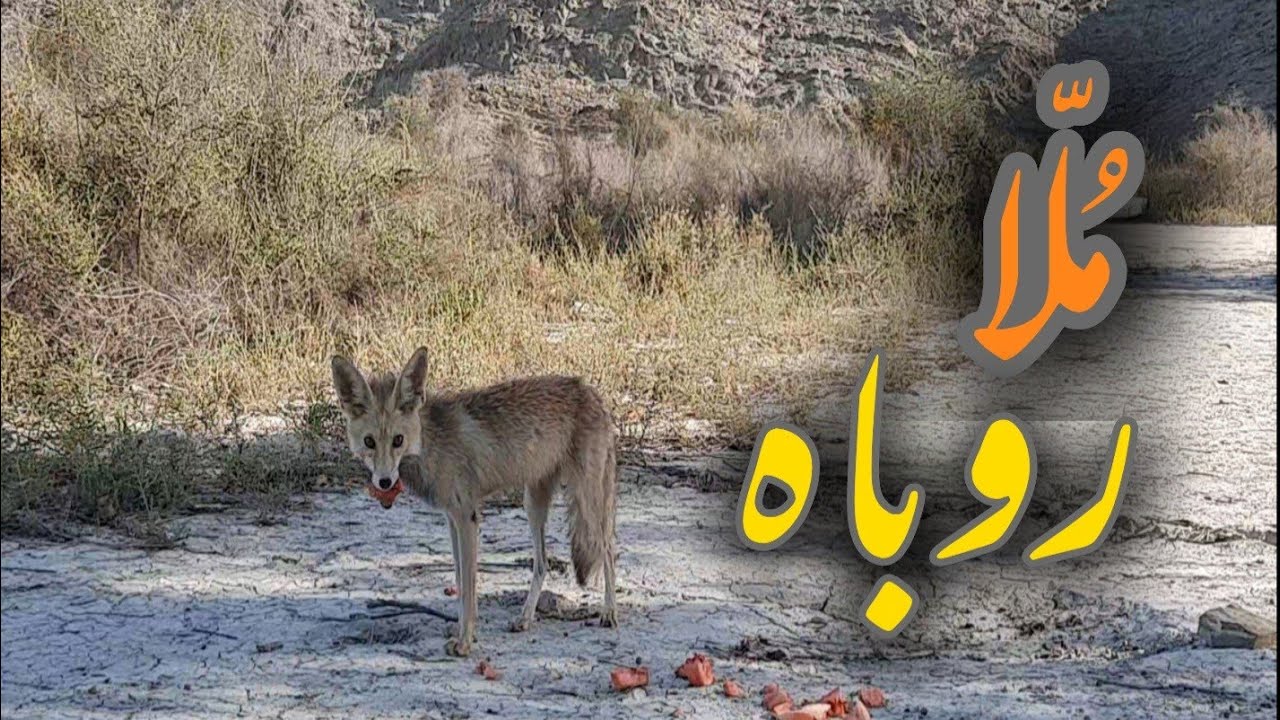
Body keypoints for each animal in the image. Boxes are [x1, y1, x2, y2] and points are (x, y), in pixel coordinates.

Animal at [330, 347, 619, 657]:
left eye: (397, 440)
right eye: (369, 442)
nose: (384, 482)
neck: (432, 445)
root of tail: (590, 390)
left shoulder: (467, 517)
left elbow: (468, 587)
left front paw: (465, 641)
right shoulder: (451, 519)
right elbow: (459, 582)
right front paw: (464, 632)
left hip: (586, 501)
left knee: (608, 549)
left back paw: (609, 612)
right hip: (533, 505)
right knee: (542, 563)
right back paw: (525, 618)